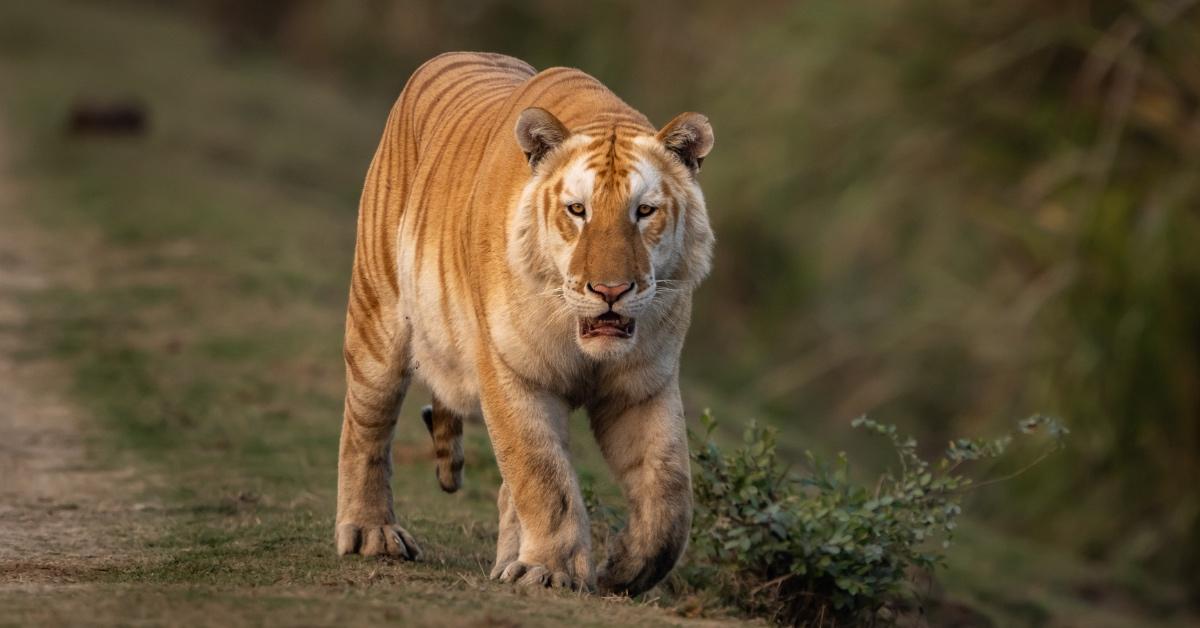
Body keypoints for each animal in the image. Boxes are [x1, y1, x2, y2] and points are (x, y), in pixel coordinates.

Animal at [335, 51, 715, 596]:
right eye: (577, 210)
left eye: (644, 211)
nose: (610, 291)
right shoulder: (511, 371)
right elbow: (542, 476)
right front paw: (552, 571)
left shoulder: (645, 385)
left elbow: (668, 492)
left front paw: (623, 569)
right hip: (377, 319)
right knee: (366, 425)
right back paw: (372, 533)